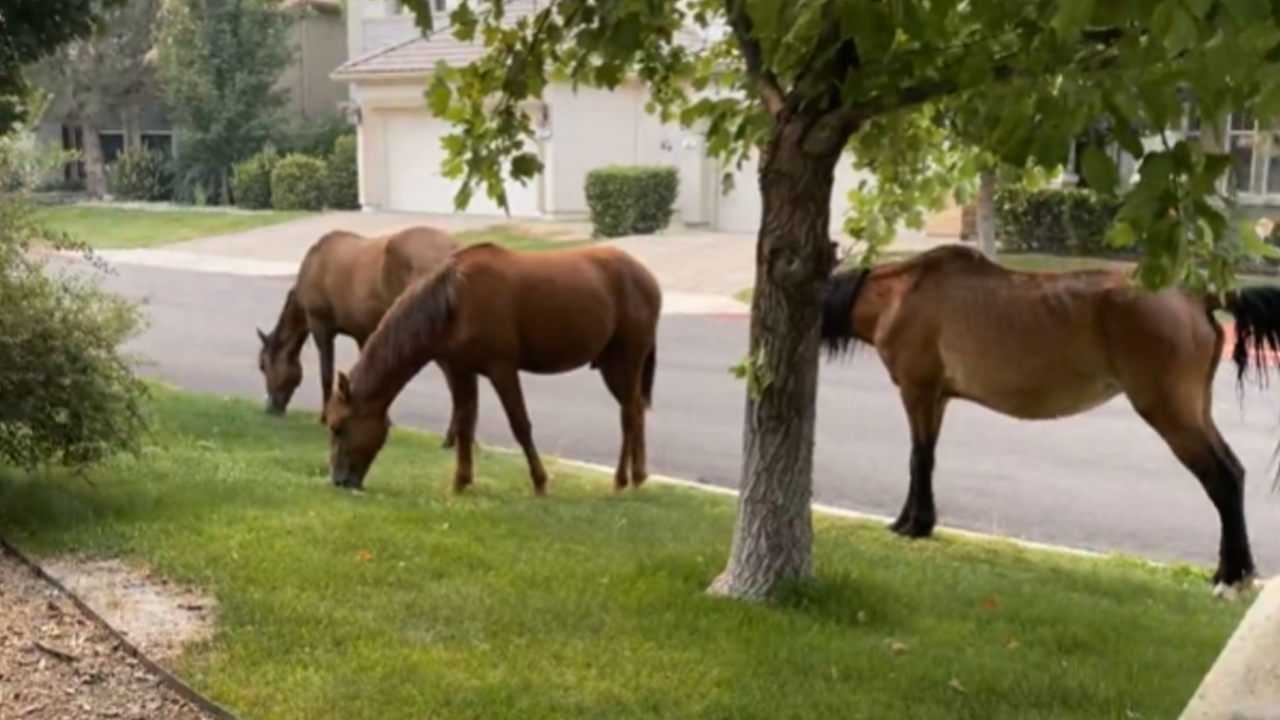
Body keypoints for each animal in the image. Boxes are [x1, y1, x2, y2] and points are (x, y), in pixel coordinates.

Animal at [255, 225, 462, 447]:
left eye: (263, 366)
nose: (271, 408)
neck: (313, 264)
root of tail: (453, 249)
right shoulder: (362, 334)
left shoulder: (321, 327)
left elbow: (326, 374)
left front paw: (325, 417)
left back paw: (451, 438)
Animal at [322, 241, 662, 496]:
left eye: (339, 426)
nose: (339, 480)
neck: (455, 301)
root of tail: (647, 277)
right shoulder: (461, 370)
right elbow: (465, 423)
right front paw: (460, 481)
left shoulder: (502, 369)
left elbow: (520, 424)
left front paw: (540, 483)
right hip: (610, 365)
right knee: (636, 409)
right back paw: (638, 476)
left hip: (626, 359)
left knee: (628, 415)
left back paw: (619, 481)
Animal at [819, 243, 1280, 600]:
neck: (900, 295)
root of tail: (1196, 298)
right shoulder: (938, 399)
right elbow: (925, 457)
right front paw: (912, 522)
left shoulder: (918, 392)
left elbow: (918, 458)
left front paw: (912, 525)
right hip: (1196, 411)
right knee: (1234, 472)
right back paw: (1232, 572)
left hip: (1172, 415)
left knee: (1220, 479)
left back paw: (1229, 580)